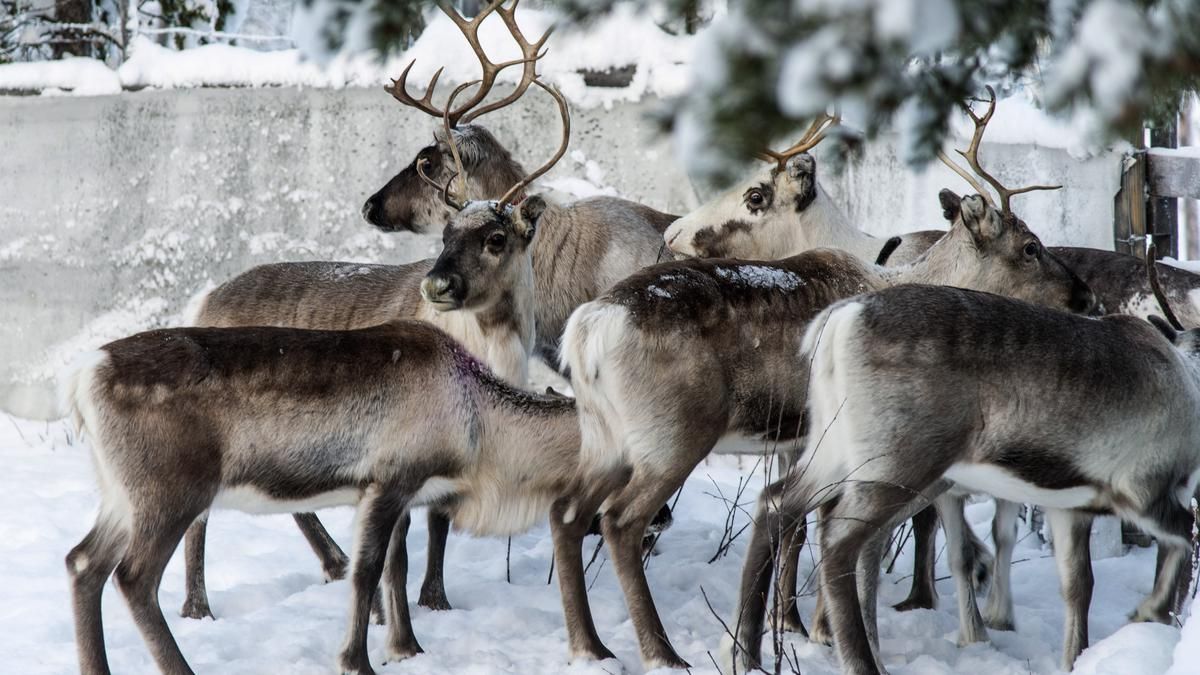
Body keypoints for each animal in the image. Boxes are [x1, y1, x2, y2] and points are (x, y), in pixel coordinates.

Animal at [176, 75, 568, 621]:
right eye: (445, 234)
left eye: (496, 237)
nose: (437, 284)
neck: (494, 348)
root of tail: (205, 301)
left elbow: (440, 519)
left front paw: (435, 600)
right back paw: (198, 607)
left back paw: (335, 563)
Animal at [554, 181, 1097, 669]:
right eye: (1031, 247)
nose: (1086, 296)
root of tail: (587, 328)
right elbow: (830, 531)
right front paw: (821, 630)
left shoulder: (801, 442)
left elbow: (800, 527)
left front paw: (797, 625)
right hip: (672, 437)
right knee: (619, 521)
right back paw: (660, 653)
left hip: (604, 438)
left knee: (567, 511)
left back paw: (590, 646)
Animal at [729, 262, 1199, 674]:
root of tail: (839, 320)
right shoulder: (1145, 490)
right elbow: (1185, 536)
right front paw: (1149, 611)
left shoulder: (1071, 506)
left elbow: (1078, 586)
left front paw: (1075, 659)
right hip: (898, 461)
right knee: (840, 538)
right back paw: (859, 662)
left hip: (834, 449)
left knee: (777, 502)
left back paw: (745, 652)